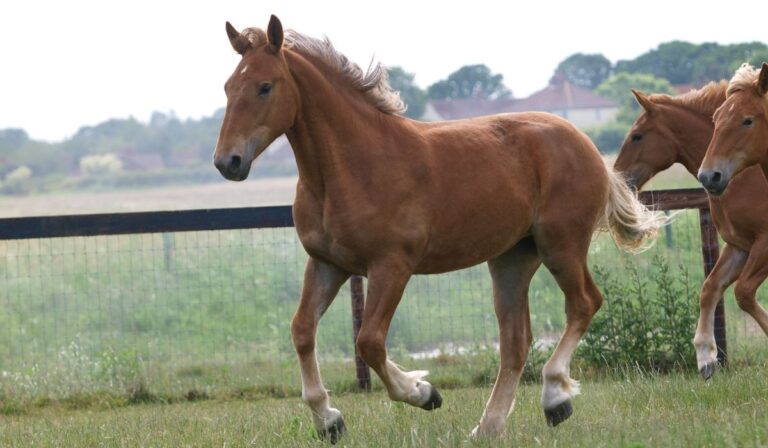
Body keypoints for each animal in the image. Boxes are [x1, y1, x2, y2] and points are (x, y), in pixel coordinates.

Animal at [213, 15, 663, 441]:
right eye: (228, 87)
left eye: (265, 87)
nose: (227, 162)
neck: (354, 166)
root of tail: (586, 144)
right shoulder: (328, 264)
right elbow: (303, 331)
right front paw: (329, 421)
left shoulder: (392, 266)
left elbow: (369, 341)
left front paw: (423, 392)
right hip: (512, 258)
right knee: (515, 342)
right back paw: (489, 426)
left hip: (561, 246)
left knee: (584, 303)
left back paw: (555, 399)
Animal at [614, 84, 768, 379]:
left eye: (637, 136)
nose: (617, 179)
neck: (742, 176)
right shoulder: (739, 246)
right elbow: (710, 288)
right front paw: (706, 359)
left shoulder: (763, 243)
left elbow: (743, 292)